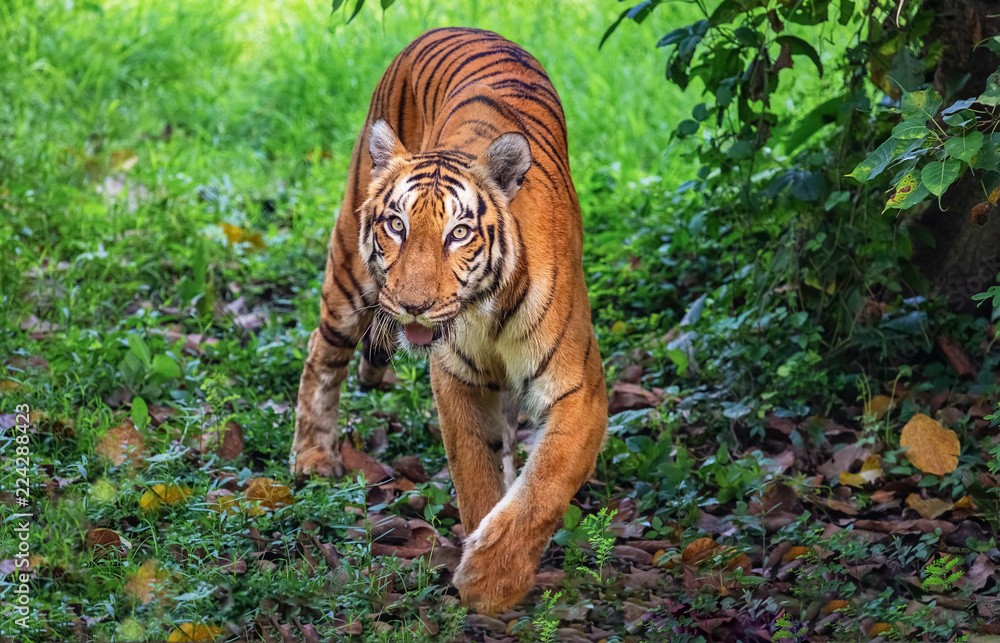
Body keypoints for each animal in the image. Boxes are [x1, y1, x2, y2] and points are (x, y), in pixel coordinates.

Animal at [290, 27, 608, 613]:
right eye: (396, 225)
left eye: (458, 234)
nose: (412, 305)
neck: (486, 310)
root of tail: (448, 27)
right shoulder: (456, 377)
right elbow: (474, 474)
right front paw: (483, 580)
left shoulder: (579, 390)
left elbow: (543, 487)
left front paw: (491, 579)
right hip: (349, 271)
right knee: (322, 353)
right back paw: (313, 457)